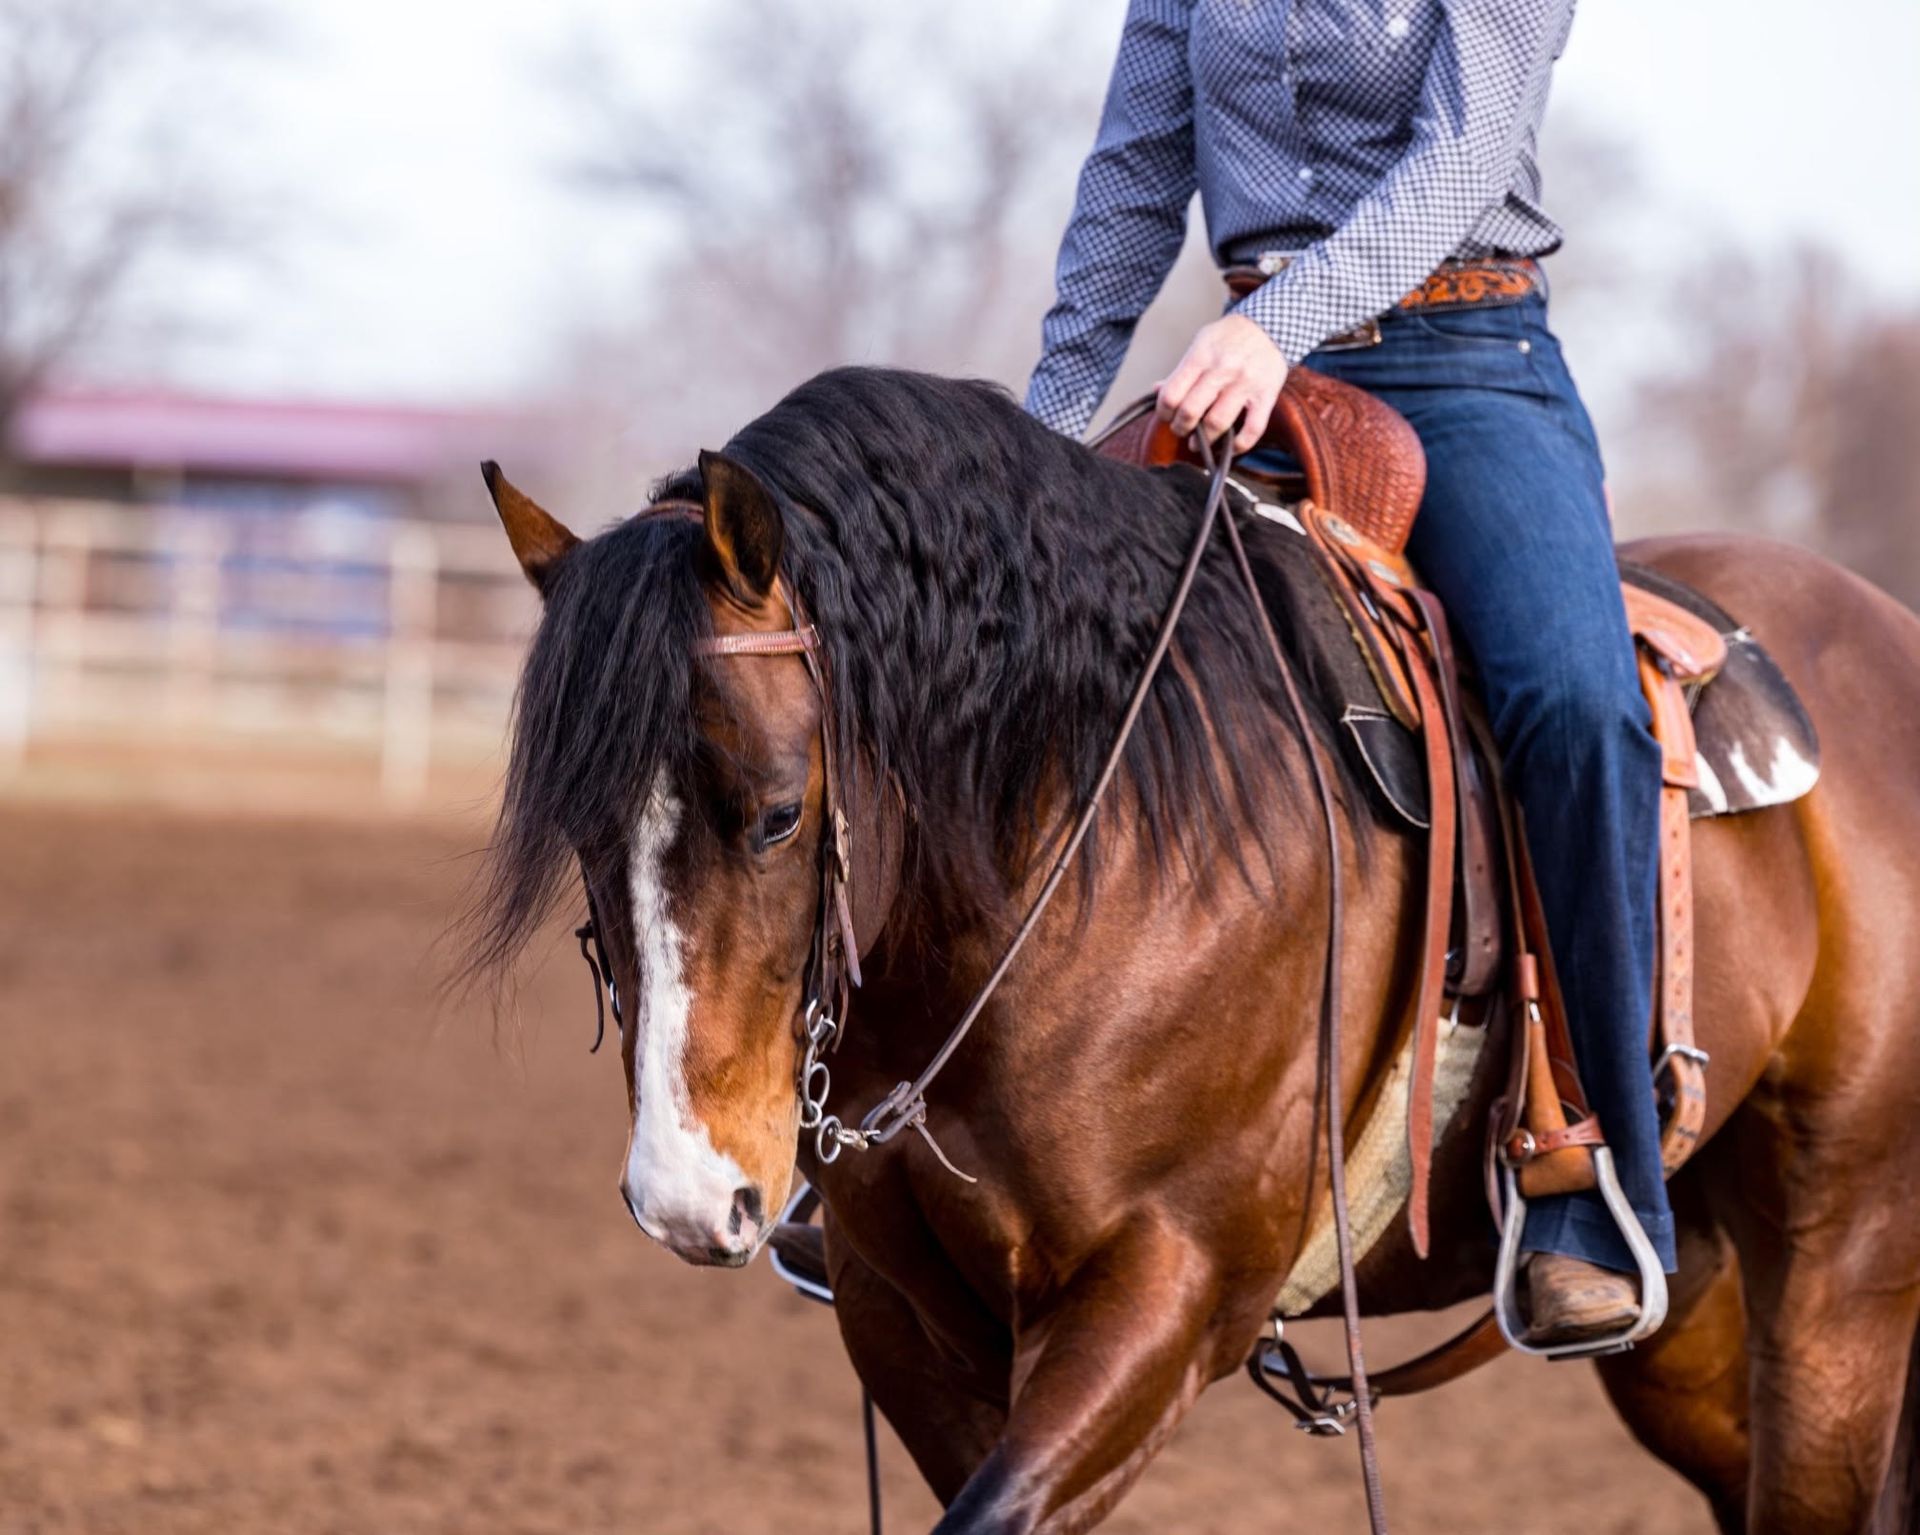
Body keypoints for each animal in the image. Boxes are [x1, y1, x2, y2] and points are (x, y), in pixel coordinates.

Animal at [468, 366, 1920, 1534]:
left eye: (776, 811)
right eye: (584, 831)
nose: (684, 1195)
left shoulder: (1171, 1285)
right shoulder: (908, 1315)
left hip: (1839, 1266)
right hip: (1694, 1317)